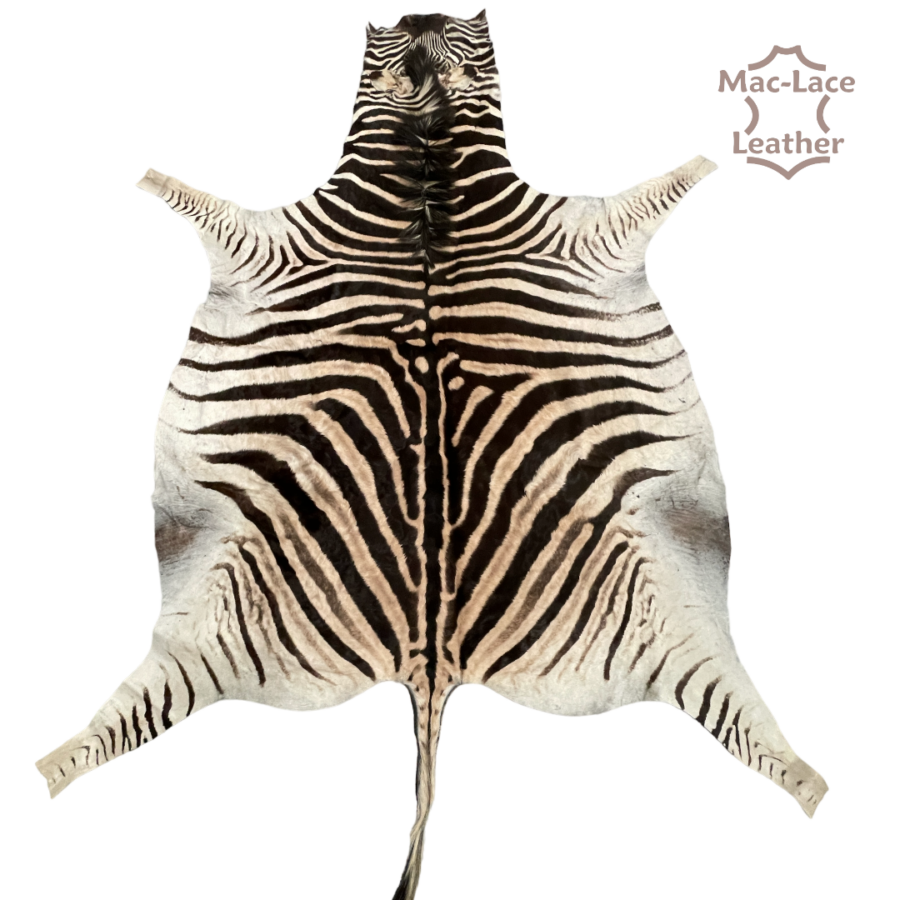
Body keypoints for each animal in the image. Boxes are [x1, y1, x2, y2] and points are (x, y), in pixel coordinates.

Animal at [34, 7, 828, 895]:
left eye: (472, 40)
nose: (423, 12)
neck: (426, 163)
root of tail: (430, 653)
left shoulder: (577, 236)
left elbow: (656, 187)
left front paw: (710, 155)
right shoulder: (276, 241)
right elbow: (193, 195)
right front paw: (140, 167)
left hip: (658, 605)